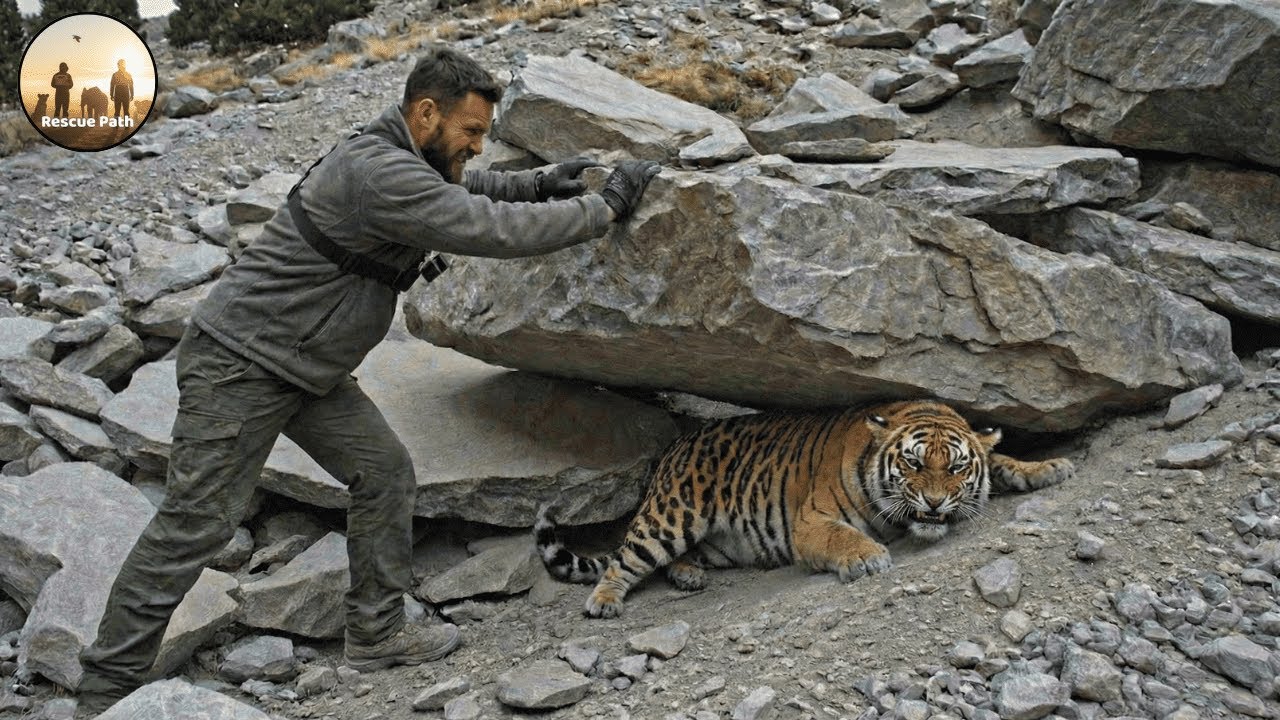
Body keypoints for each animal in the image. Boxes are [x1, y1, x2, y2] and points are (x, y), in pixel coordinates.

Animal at [535, 400, 1073, 618]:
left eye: (958, 468)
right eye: (914, 463)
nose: (935, 501)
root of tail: (674, 447)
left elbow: (1000, 459)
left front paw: (1048, 467)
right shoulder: (811, 521)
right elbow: (842, 536)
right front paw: (867, 558)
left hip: (716, 543)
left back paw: (687, 574)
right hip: (671, 516)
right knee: (625, 559)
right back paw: (605, 602)